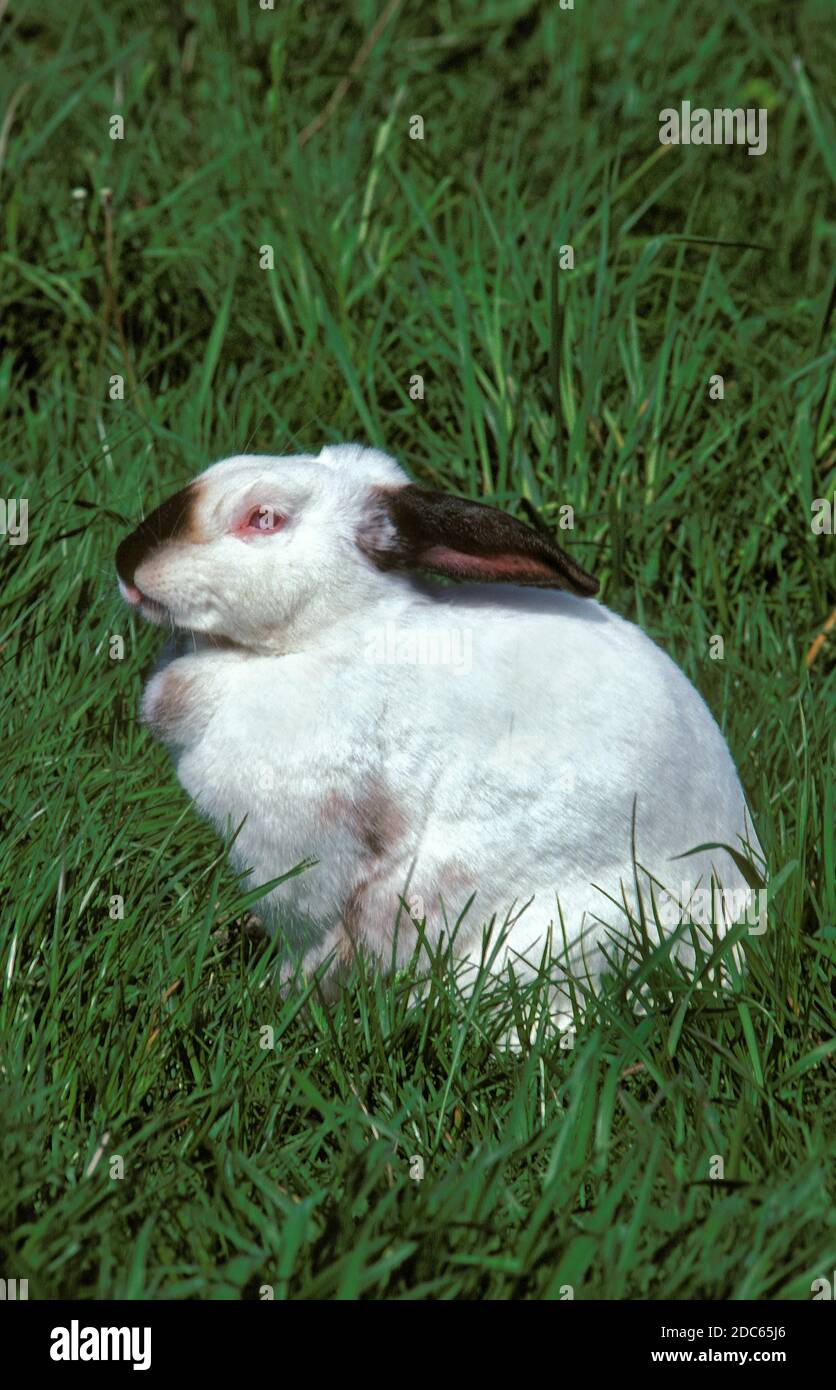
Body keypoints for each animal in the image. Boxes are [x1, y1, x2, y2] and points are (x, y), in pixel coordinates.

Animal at [116, 443, 763, 1016]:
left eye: (265, 519)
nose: (126, 561)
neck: (330, 635)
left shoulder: (307, 863)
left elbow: (314, 946)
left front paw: (279, 996)